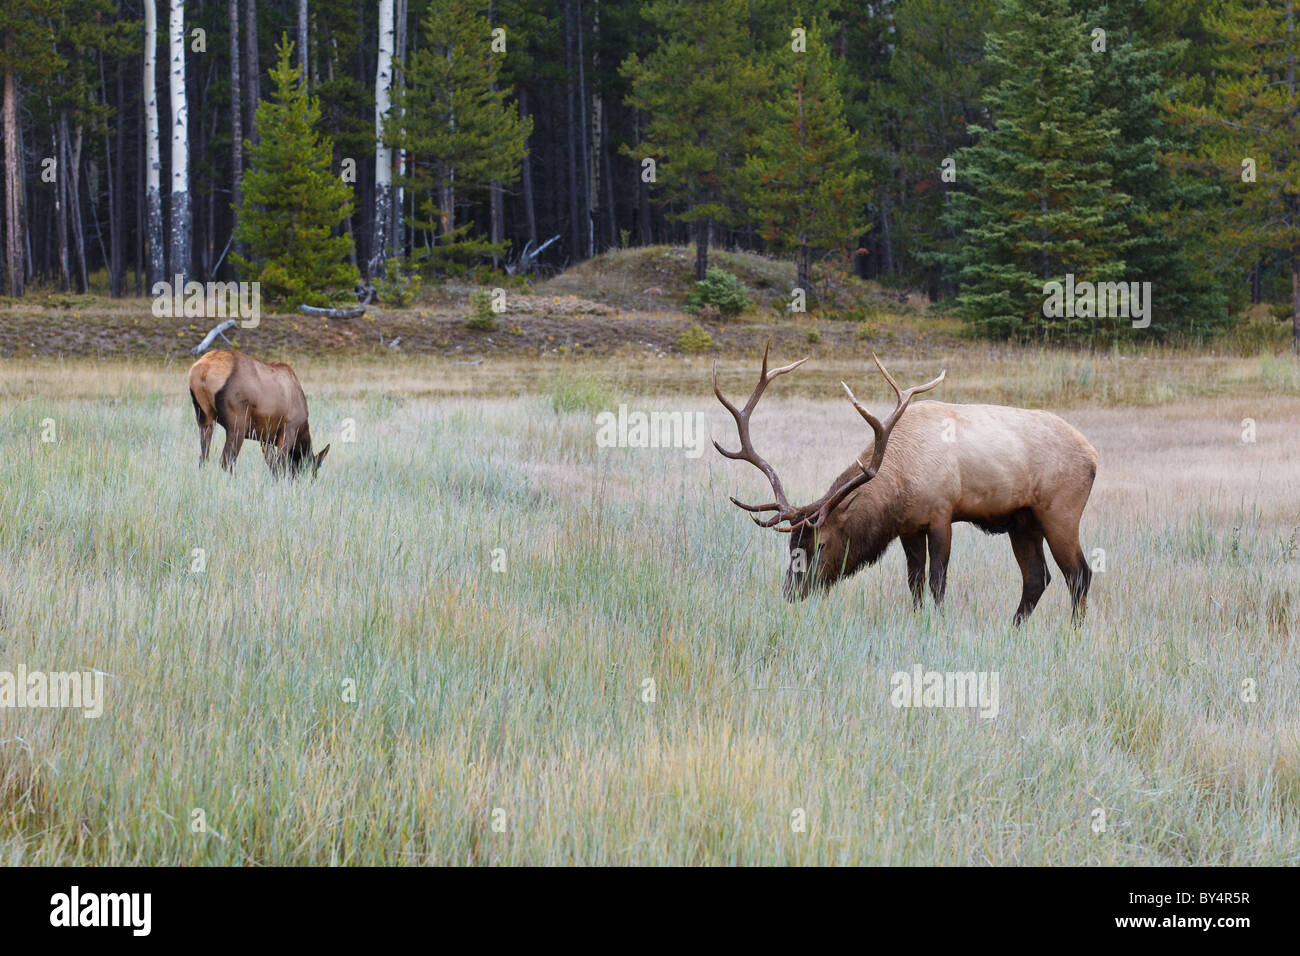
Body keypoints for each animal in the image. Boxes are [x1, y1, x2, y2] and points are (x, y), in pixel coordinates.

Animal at [187, 350, 330, 479]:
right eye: (313, 470)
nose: (311, 481)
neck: (302, 428)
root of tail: (203, 371)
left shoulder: (265, 438)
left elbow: (272, 465)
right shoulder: (289, 429)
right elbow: (281, 464)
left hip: (204, 418)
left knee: (203, 458)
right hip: (237, 424)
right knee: (226, 460)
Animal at [713, 346, 1098, 624]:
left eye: (820, 543)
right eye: (792, 543)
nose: (791, 592)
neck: (901, 484)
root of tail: (1093, 456)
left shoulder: (942, 513)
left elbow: (937, 580)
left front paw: (937, 624)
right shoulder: (909, 526)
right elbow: (914, 582)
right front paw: (917, 621)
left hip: (1060, 511)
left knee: (1079, 573)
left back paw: (1072, 634)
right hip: (1023, 521)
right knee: (1036, 578)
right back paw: (1013, 630)